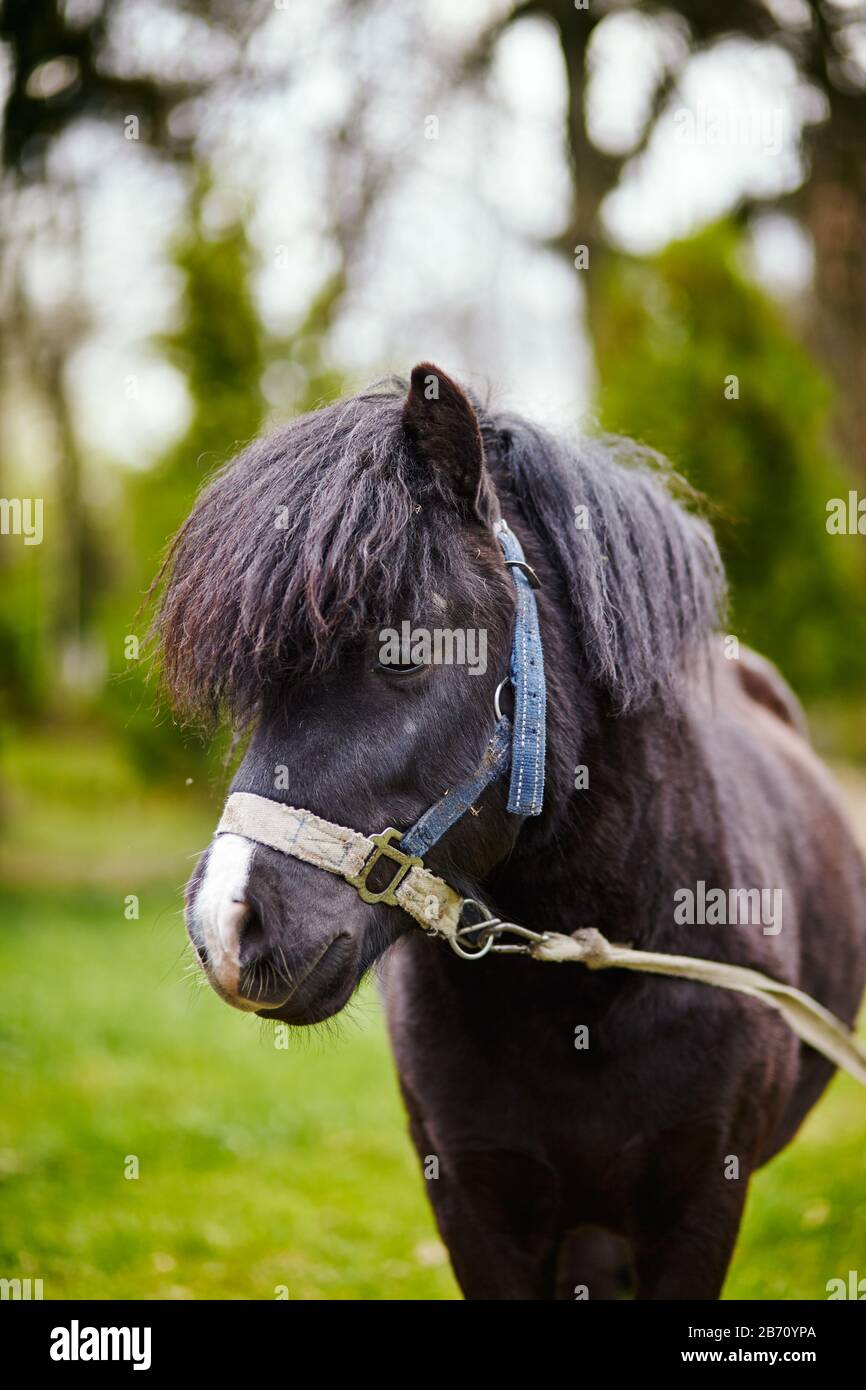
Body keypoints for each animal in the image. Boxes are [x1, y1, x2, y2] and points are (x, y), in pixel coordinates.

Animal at [154, 363, 866, 1300]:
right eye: (255, 685)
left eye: (402, 652)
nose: (228, 926)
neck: (588, 993)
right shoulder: (475, 1208)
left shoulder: (701, 1207)